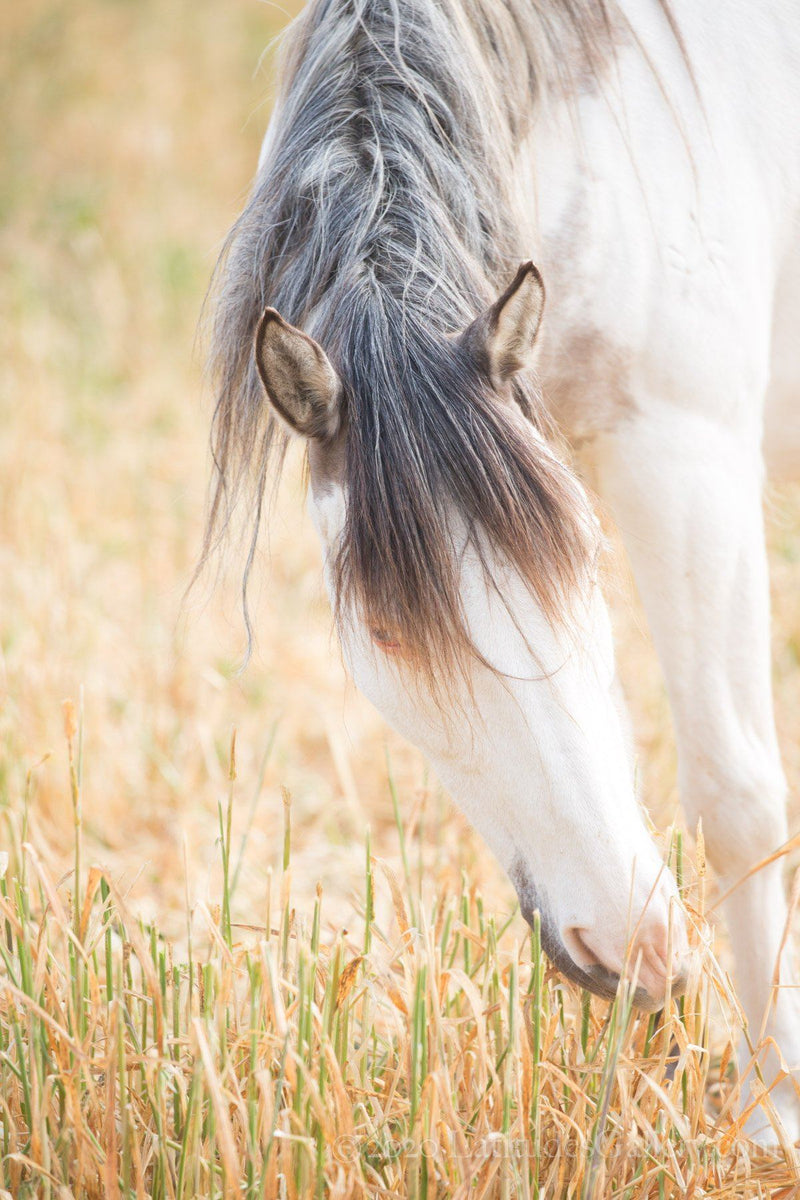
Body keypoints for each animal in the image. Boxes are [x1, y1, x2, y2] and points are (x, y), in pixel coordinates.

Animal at [205, 0, 800, 1144]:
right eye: (386, 633)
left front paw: (770, 1115)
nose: (633, 948)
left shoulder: (688, 457)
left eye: (583, 572)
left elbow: (736, 792)